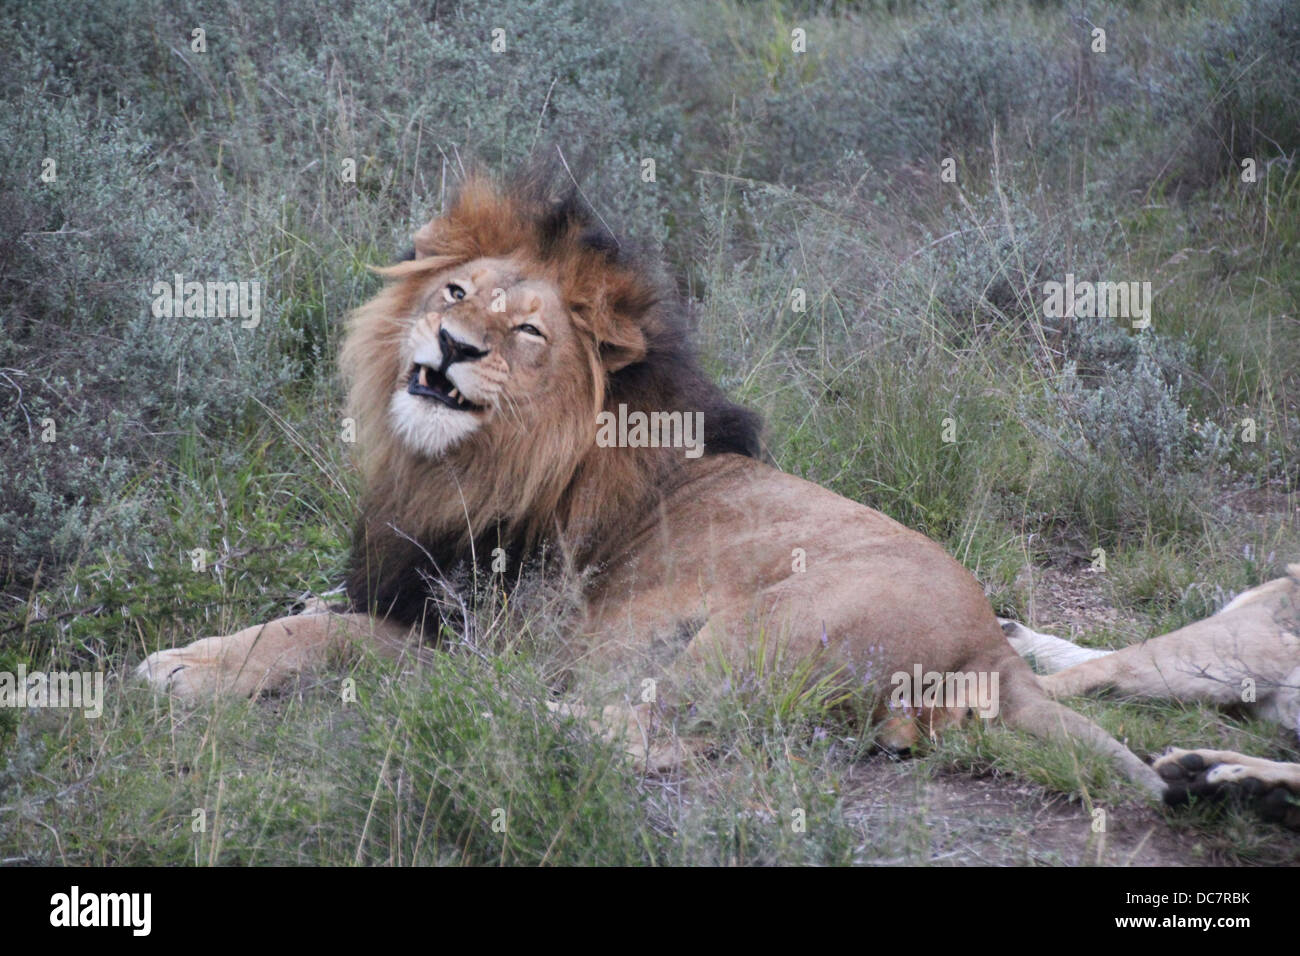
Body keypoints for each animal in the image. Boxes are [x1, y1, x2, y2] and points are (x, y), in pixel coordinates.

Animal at [136, 171, 1300, 819]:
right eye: (455, 290)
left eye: (527, 332)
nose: (452, 346)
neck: (463, 464)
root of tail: (992, 654)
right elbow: (311, 614)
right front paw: (211, 649)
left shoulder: (486, 634)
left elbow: (326, 638)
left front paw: (188, 667)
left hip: (755, 631)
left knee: (651, 731)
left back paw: (521, 720)